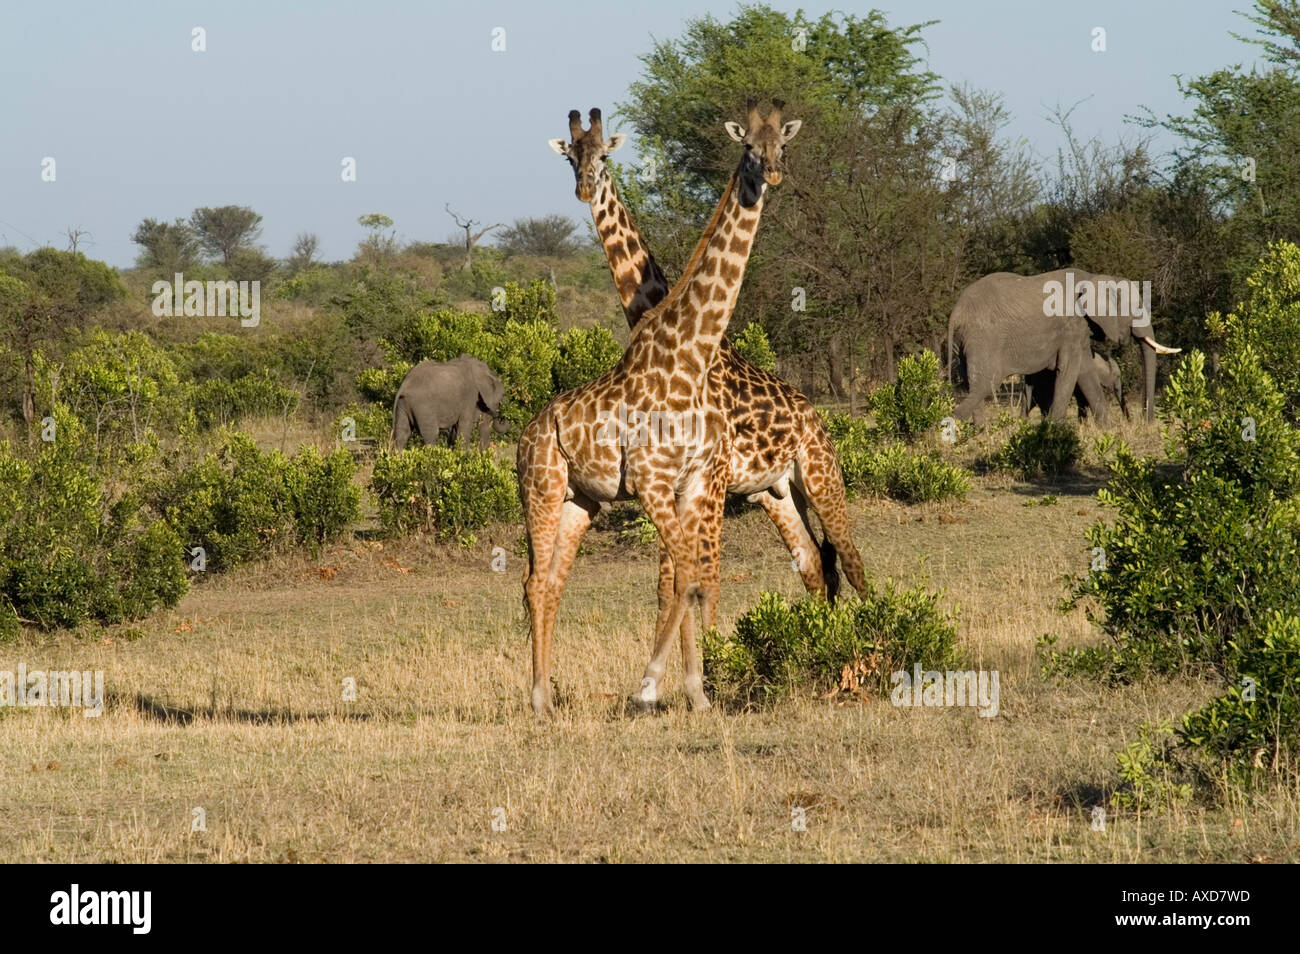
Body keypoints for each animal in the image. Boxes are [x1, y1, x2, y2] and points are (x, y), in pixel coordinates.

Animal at [519, 100, 800, 719]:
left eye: (782, 146)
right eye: (749, 148)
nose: (771, 175)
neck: (689, 353)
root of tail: (525, 435)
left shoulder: (693, 481)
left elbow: (688, 578)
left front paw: (694, 688)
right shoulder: (654, 482)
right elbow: (688, 576)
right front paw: (656, 687)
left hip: (583, 501)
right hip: (544, 490)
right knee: (535, 582)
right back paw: (539, 699)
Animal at [548, 108, 869, 625]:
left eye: (604, 157)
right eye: (570, 159)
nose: (584, 189)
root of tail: (815, 416)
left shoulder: (710, 476)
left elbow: (701, 578)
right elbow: (669, 585)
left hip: (821, 475)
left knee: (852, 560)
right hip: (776, 491)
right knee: (816, 564)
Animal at [948, 269, 1179, 424]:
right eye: (1137, 308)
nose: (1146, 422)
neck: (1096, 277)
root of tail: (956, 313)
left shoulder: (1079, 330)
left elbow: (1084, 371)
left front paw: (1106, 429)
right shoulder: (1071, 326)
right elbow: (1070, 370)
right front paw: (1055, 429)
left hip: (966, 342)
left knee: (973, 383)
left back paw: (979, 430)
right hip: (984, 339)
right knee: (985, 383)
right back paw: (953, 423)